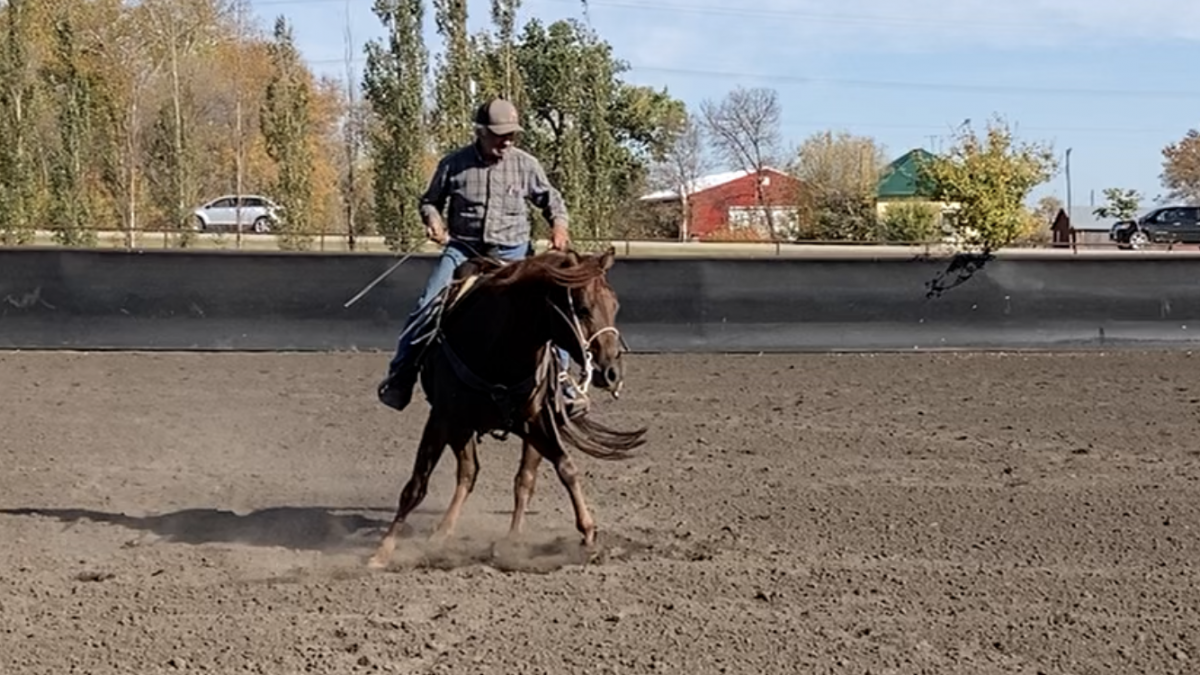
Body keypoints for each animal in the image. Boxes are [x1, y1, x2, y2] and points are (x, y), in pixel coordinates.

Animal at [367, 246, 648, 569]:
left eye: (615, 305)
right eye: (582, 308)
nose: (612, 372)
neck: (500, 347)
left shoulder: (536, 420)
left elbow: (565, 467)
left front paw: (589, 533)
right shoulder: (442, 417)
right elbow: (416, 486)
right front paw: (382, 552)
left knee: (520, 480)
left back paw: (509, 540)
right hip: (461, 426)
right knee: (468, 473)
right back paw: (441, 535)